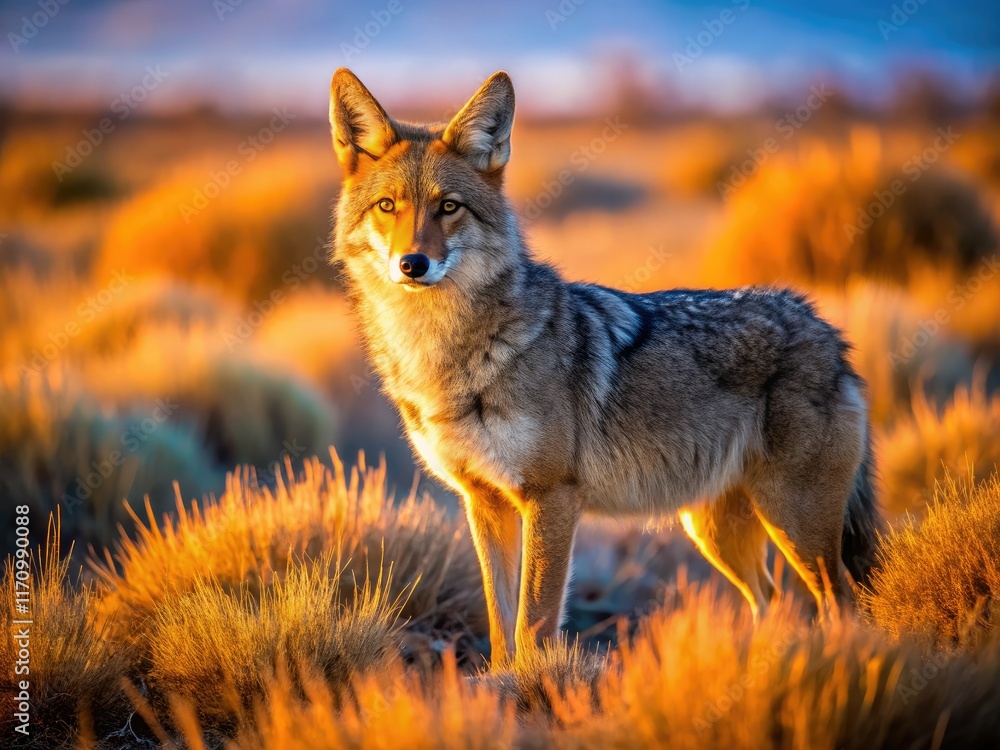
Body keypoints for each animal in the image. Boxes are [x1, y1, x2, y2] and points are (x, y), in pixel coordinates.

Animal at [328, 68, 883, 666]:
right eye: (388, 206)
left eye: (449, 207)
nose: (413, 263)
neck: (446, 353)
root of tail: (827, 331)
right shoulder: (485, 503)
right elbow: (501, 626)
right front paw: (498, 681)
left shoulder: (552, 498)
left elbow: (534, 625)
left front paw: (533, 683)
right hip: (716, 530)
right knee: (774, 603)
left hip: (793, 523)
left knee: (839, 603)